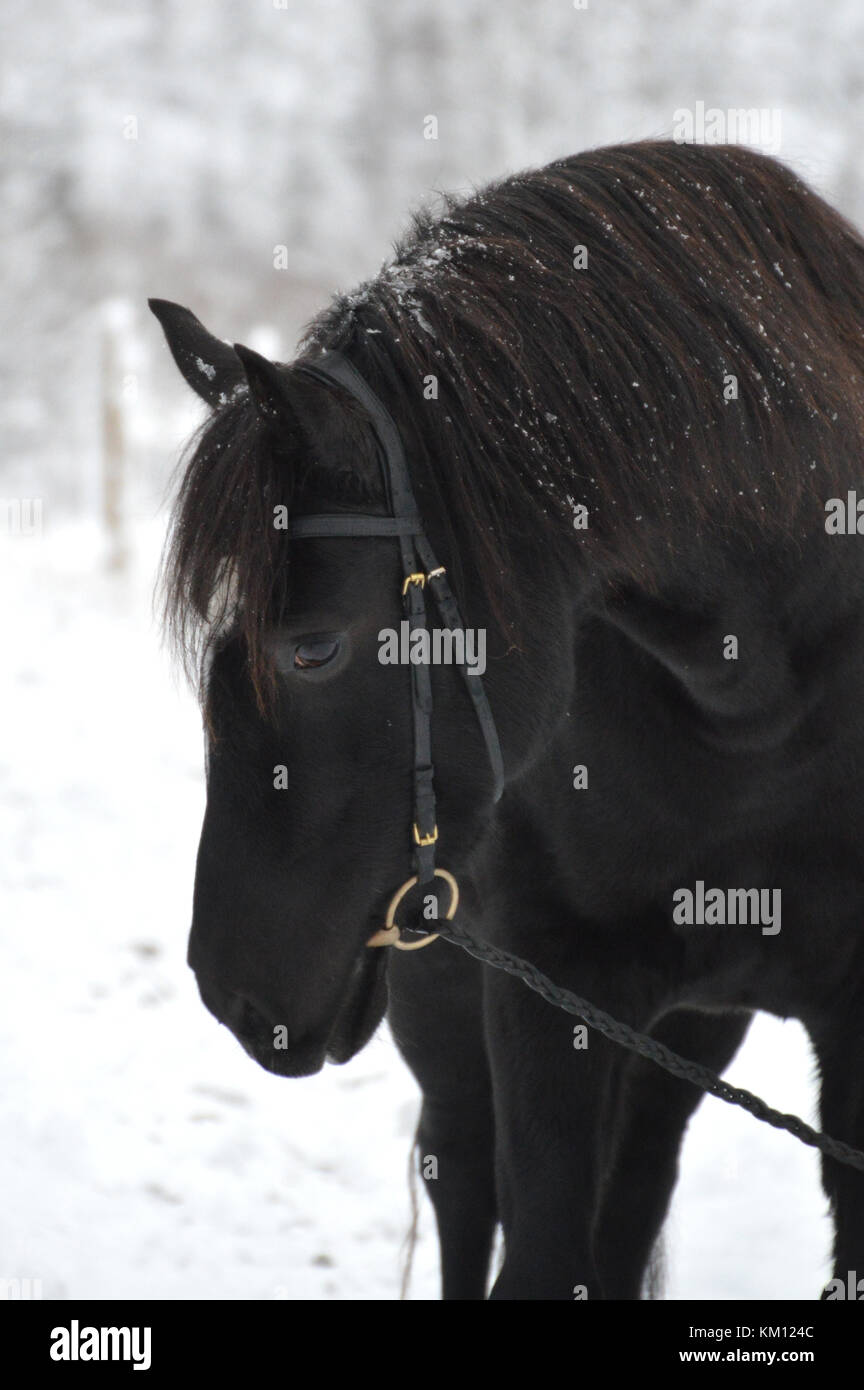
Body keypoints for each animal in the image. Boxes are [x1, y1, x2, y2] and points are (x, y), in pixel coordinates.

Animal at [152, 140, 864, 1300]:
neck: (765, 701)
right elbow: (529, 1249)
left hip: (688, 1025)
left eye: (311, 649)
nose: (228, 987)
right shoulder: (552, 988)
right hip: (445, 998)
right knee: (464, 1179)